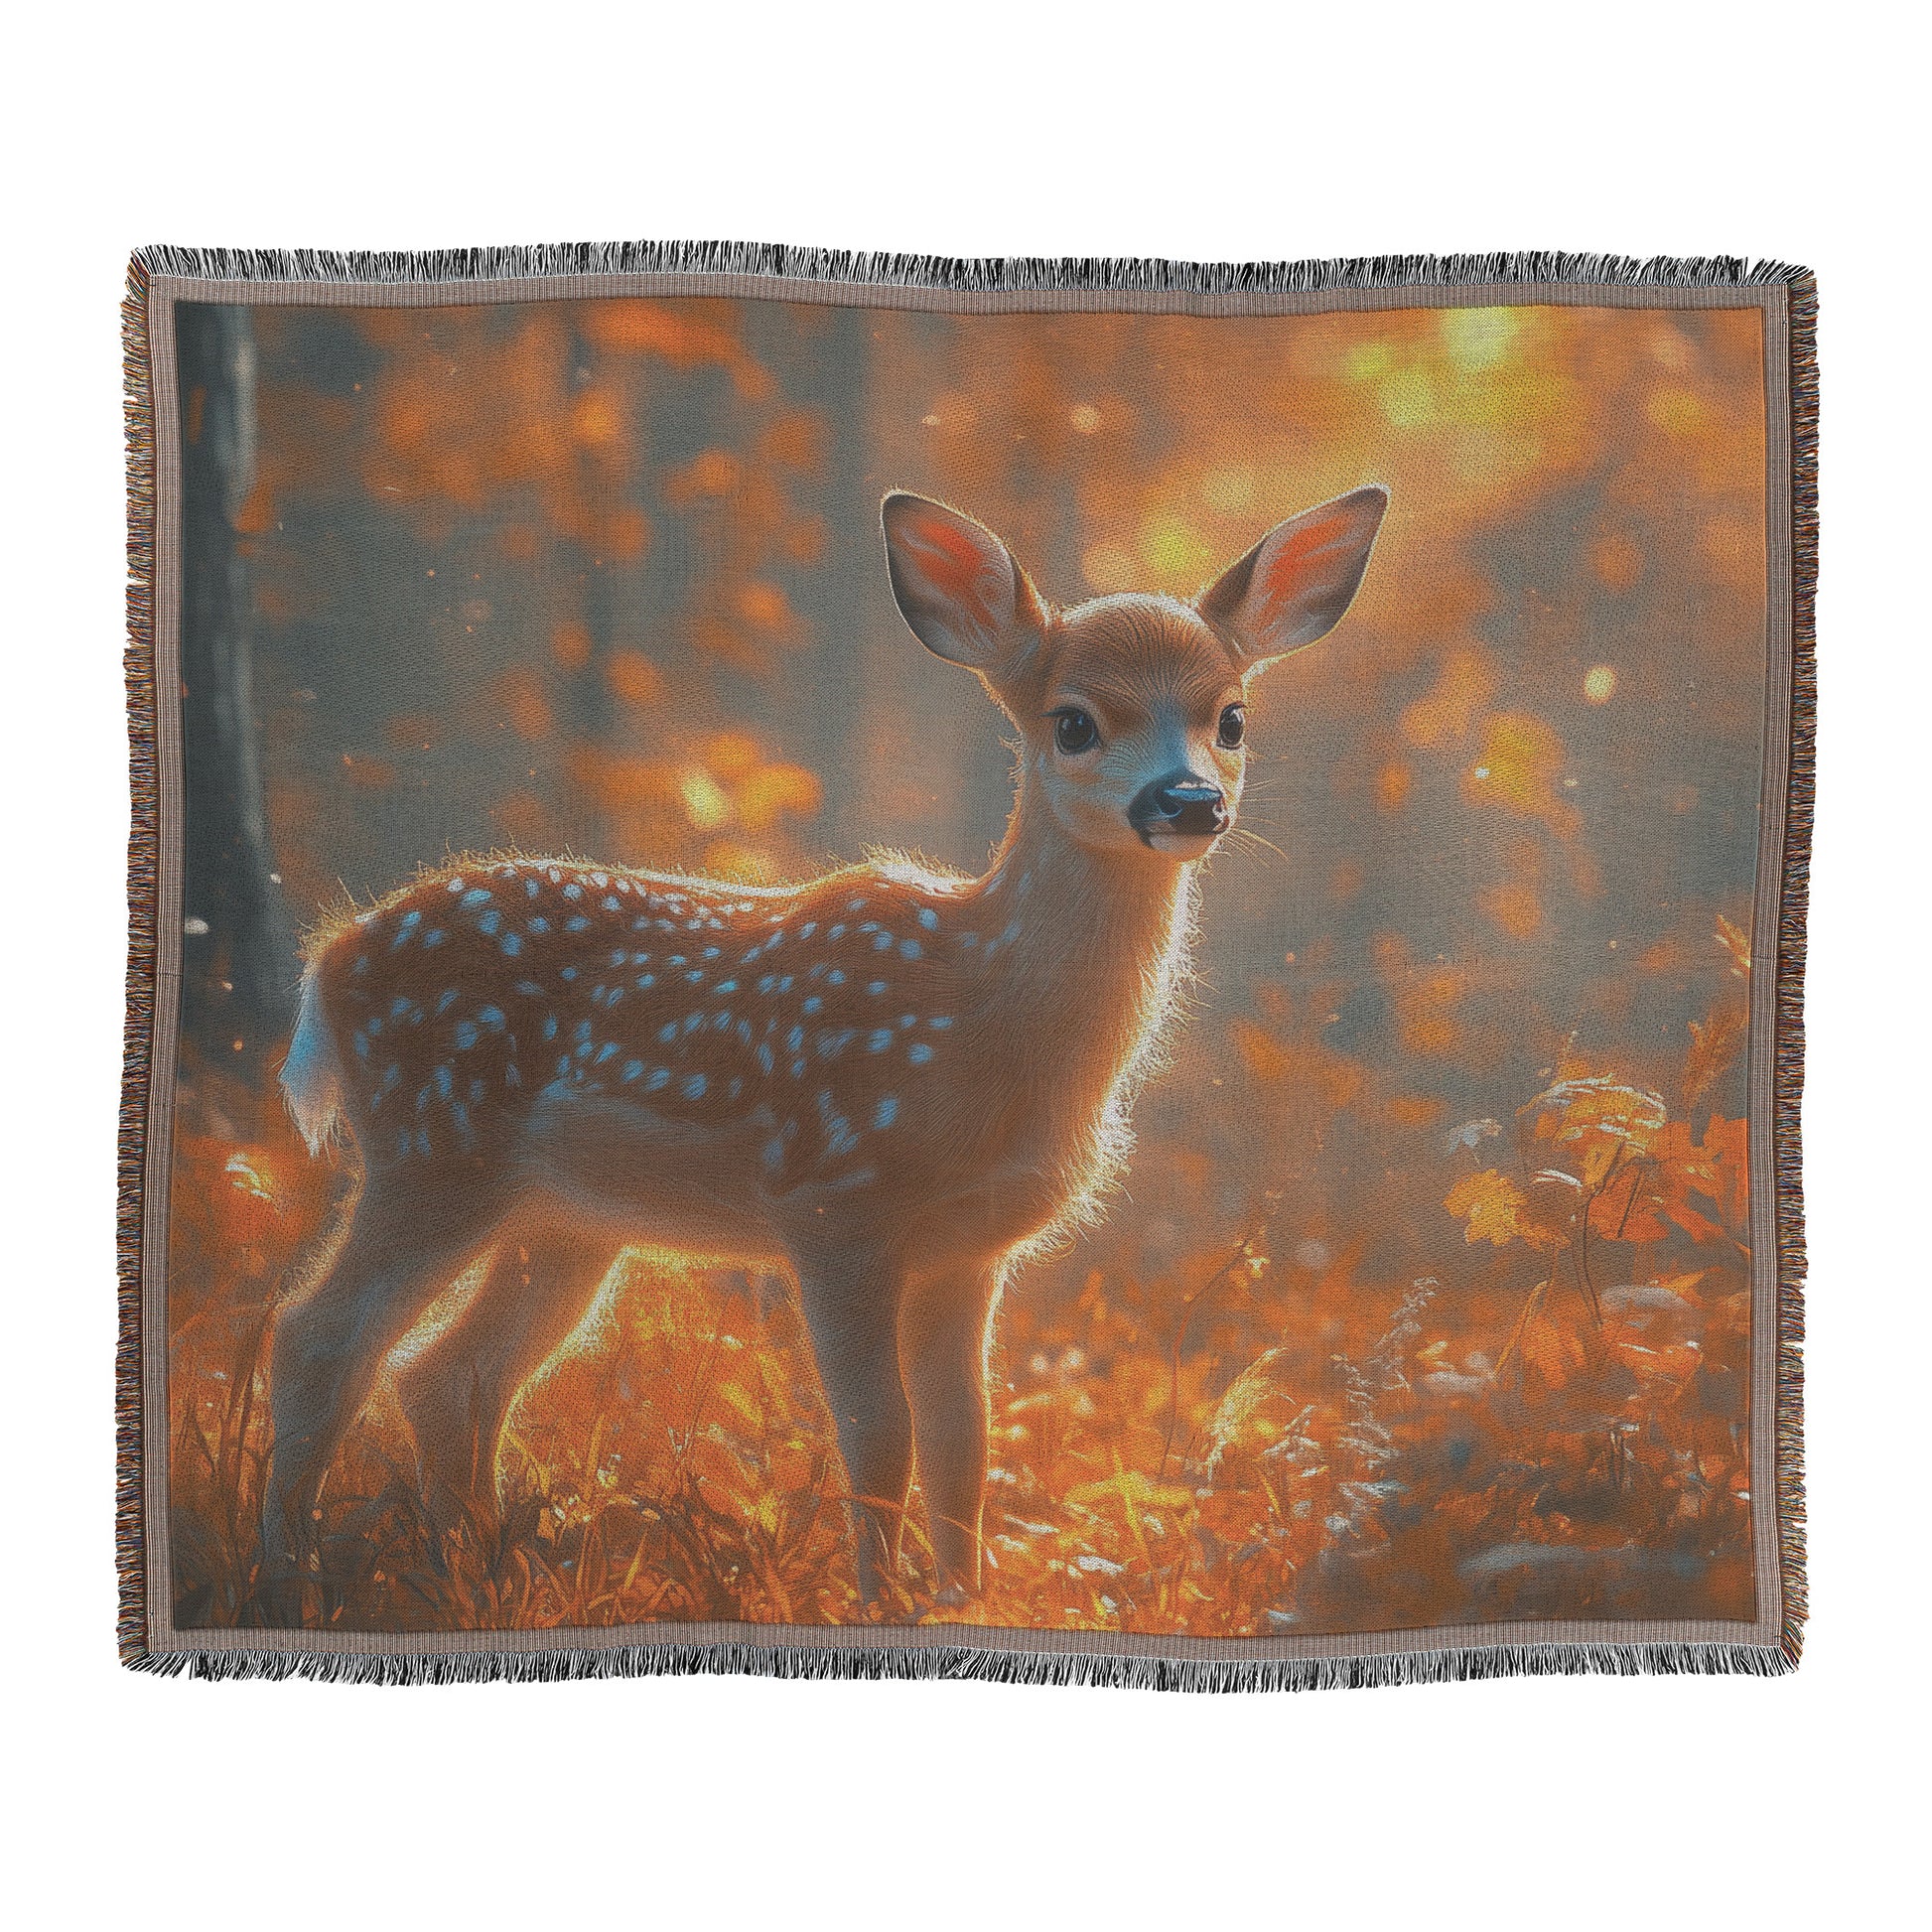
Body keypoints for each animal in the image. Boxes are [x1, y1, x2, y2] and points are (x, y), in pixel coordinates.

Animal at [267, 483, 1389, 1609]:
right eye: (1074, 721)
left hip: (566, 1214)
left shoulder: (969, 1247)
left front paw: (963, 1603)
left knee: (450, 1372)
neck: (986, 1017)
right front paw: (878, 1603)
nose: (1188, 800)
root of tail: (329, 962)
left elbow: (965, 1442)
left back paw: (478, 1581)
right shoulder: (834, 1203)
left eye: (1230, 717)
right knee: (318, 1335)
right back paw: (296, 1570)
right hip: (435, 1141)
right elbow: (877, 1433)